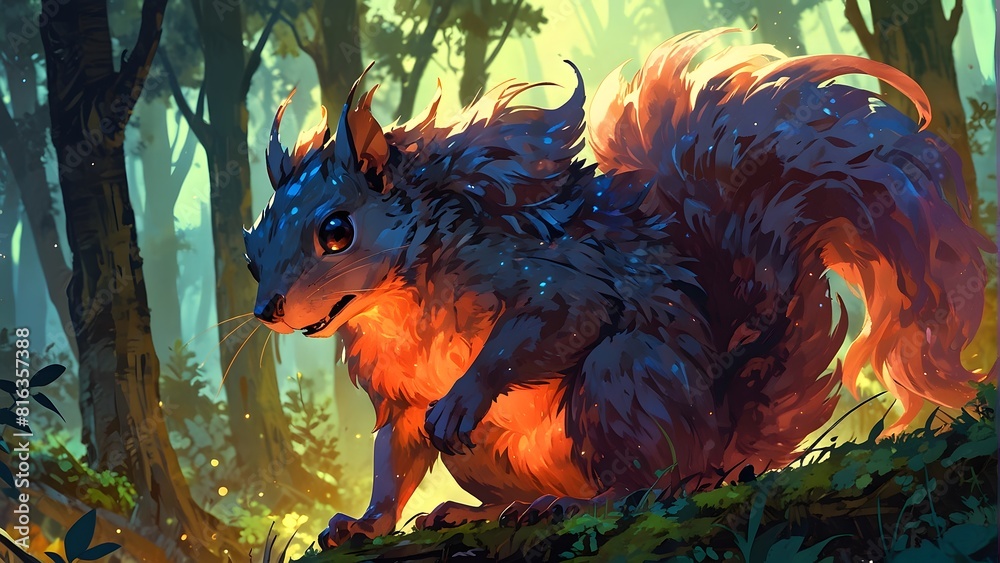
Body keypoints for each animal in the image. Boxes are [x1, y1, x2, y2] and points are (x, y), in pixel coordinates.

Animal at [243, 29, 992, 549]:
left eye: (336, 231)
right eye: (252, 252)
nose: (267, 308)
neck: (395, 303)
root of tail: (720, 443)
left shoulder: (545, 272)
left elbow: (557, 321)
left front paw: (462, 399)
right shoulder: (398, 391)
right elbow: (395, 454)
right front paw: (365, 524)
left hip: (623, 380)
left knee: (645, 486)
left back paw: (574, 502)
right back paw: (476, 509)